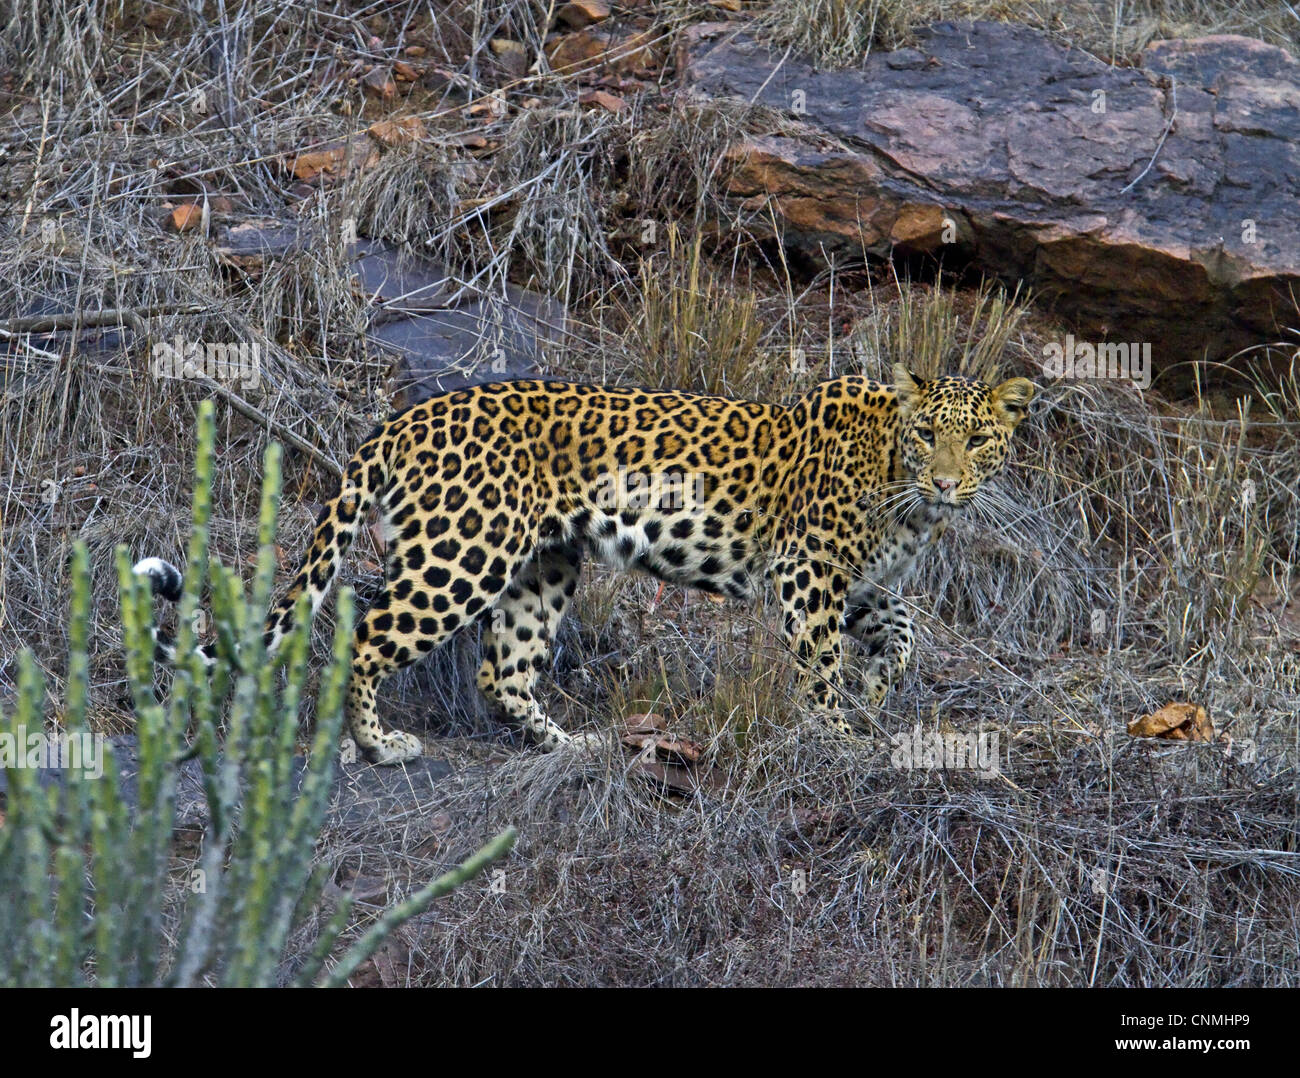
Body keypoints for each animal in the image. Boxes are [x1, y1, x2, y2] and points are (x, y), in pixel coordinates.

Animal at [134, 363, 1035, 765]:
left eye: (978, 440)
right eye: (929, 436)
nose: (947, 480)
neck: (903, 489)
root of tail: (403, 419)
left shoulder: (858, 582)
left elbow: (904, 625)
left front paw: (879, 685)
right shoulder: (807, 571)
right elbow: (816, 665)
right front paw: (840, 733)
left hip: (546, 564)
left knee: (502, 669)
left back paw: (566, 745)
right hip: (465, 553)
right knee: (366, 632)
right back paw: (379, 743)